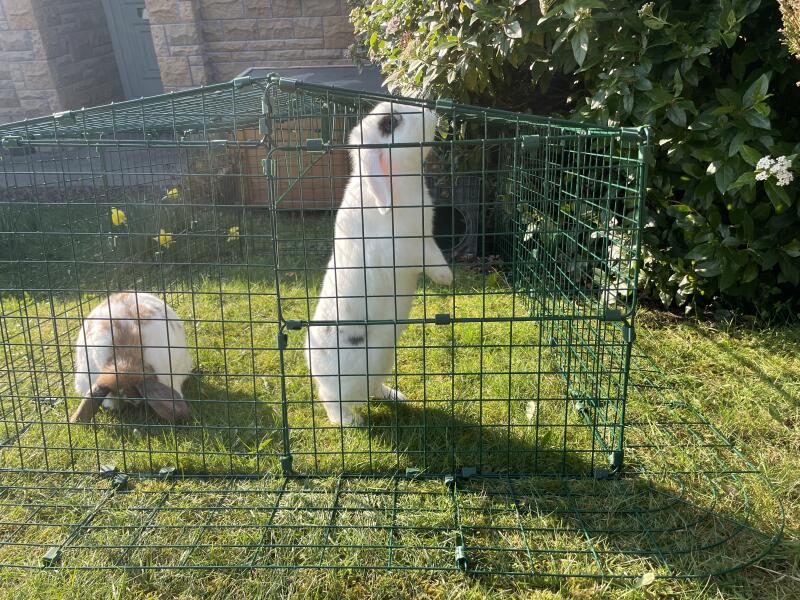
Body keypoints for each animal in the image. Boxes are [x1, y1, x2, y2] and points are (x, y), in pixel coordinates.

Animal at [305, 101, 453, 425]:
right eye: (390, 124)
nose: (431, 111)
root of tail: (312, 360)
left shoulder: (426, 238)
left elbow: (436, 252)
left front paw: (448, 276)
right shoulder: (410, 249)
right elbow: (428, 260)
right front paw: (445, 277)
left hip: (383, 360)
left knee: (373, 387)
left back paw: (395, 395)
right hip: (345, 384)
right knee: (330, 400)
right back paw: (349, 421)